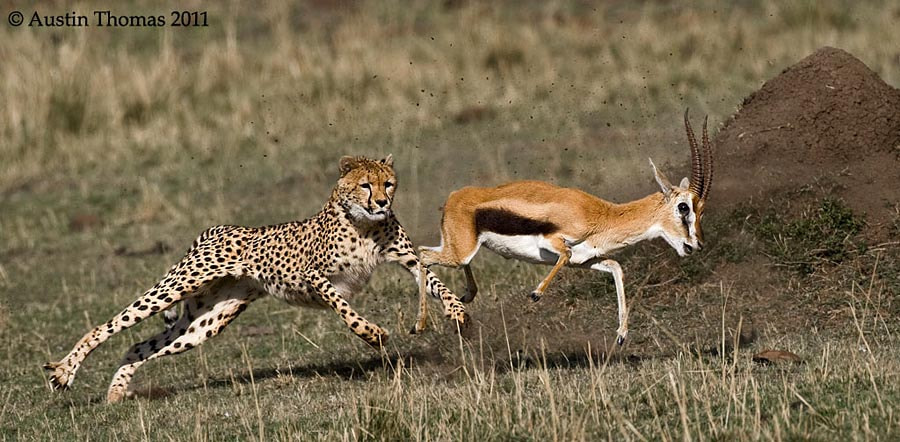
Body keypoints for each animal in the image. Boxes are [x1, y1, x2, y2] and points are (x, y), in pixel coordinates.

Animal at [43, 154, 468, 403]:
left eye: (388, 183)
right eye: (366, 184)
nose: (382, 202)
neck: (362, 223)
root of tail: (219, 228)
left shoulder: (407, 257)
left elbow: (435, 281)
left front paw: (458, 311)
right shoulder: (313, 277)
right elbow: (343, 307)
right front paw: (370, 332)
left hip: (204, 321)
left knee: (139, 345)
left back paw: (117, 390)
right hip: (176, 286)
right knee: (107, 326)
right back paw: (64, 372)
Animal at [413, 110, 714, 344]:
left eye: (701, 210)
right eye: (684, 207)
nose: (697, 244)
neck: (603, 215)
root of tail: (454, 197)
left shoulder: (586, 260)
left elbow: (617, 268)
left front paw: (621, 334)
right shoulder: (554, 243)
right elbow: (566, 254)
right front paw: (536, 293)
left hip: (461, 250)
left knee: (432, 256)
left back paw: (467, 295)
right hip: (460, 252)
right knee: (422, 254)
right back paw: (419, 324)